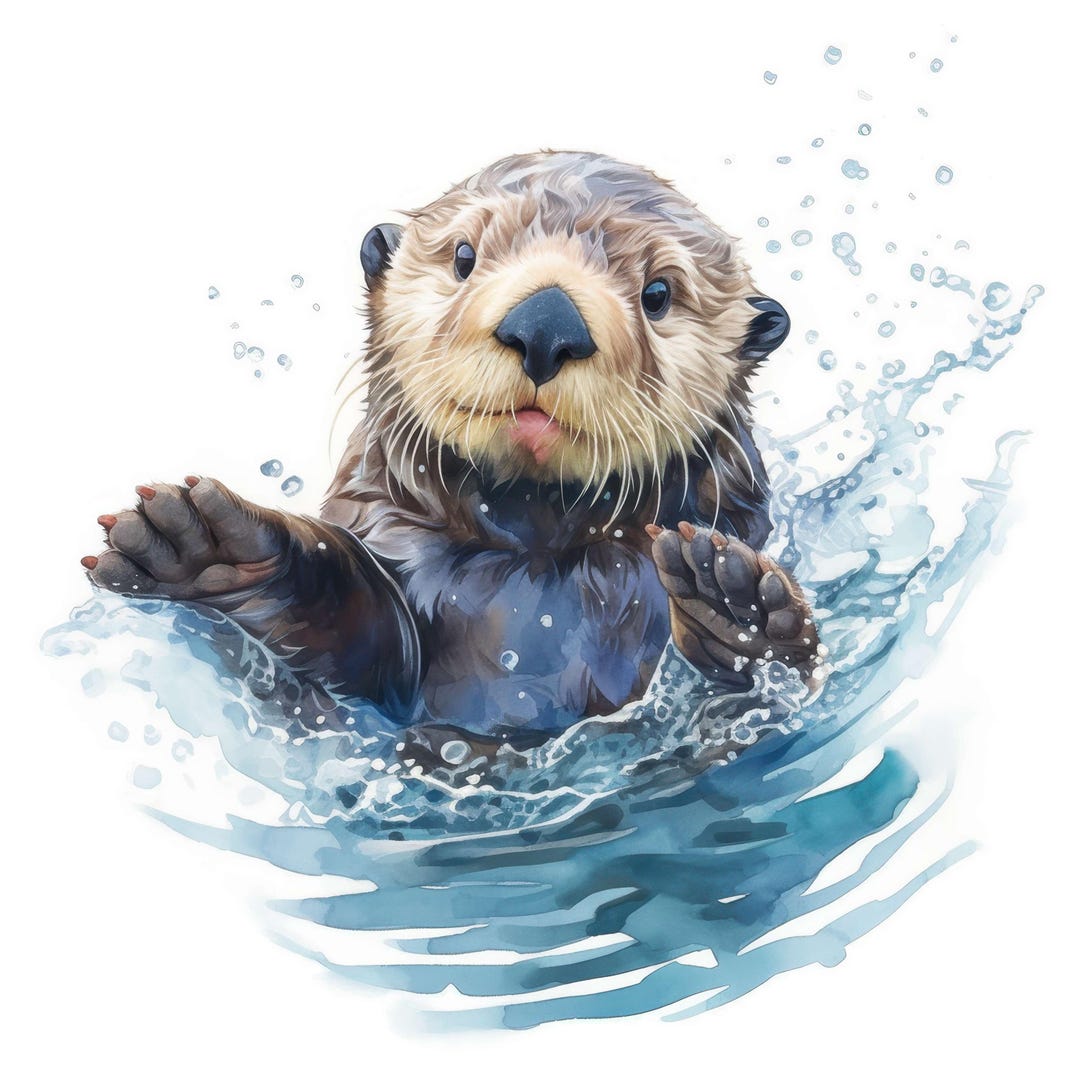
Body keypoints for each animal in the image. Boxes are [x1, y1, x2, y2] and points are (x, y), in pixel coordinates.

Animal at [81, 151, 821, 761]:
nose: (545, 324)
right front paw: (211, 545)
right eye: (464, 257)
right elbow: (362, 630)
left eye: (659, 294)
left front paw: (735, 603)